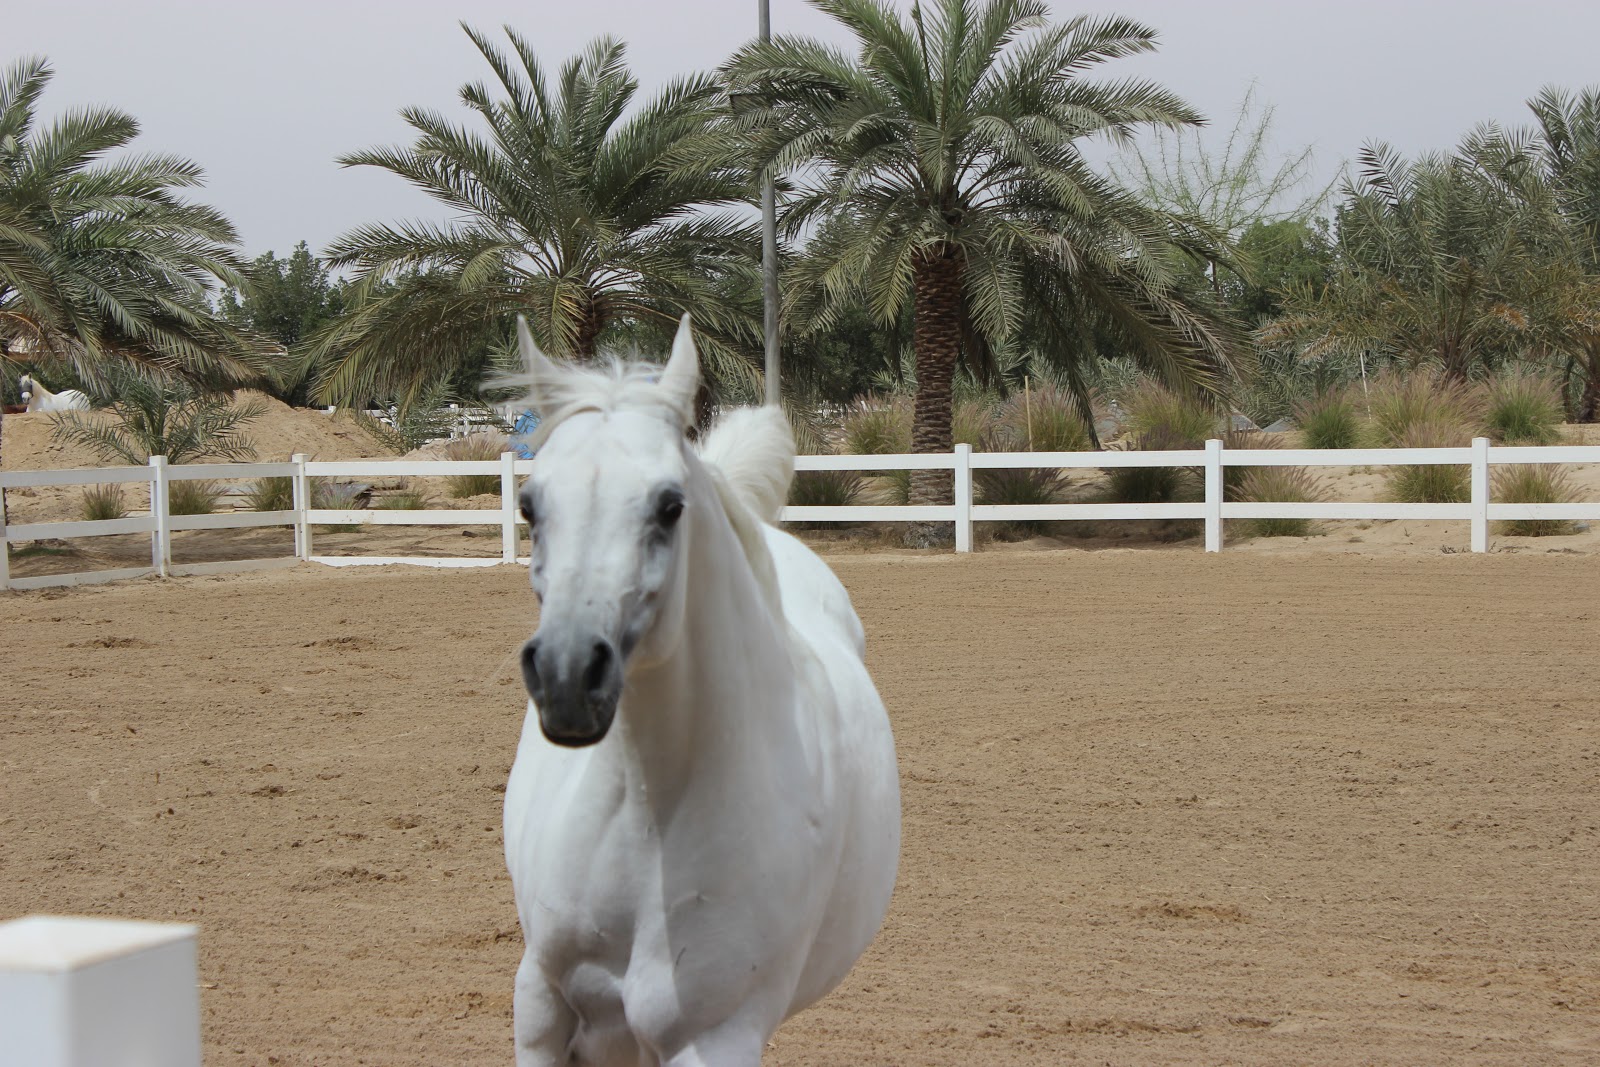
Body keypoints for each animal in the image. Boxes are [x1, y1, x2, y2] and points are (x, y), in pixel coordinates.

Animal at [502, 315, 901, 1067]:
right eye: (529, 504)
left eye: (669, 505)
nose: (568, 676)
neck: (646, 818)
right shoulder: (542, 1005)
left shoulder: (714, 1038)